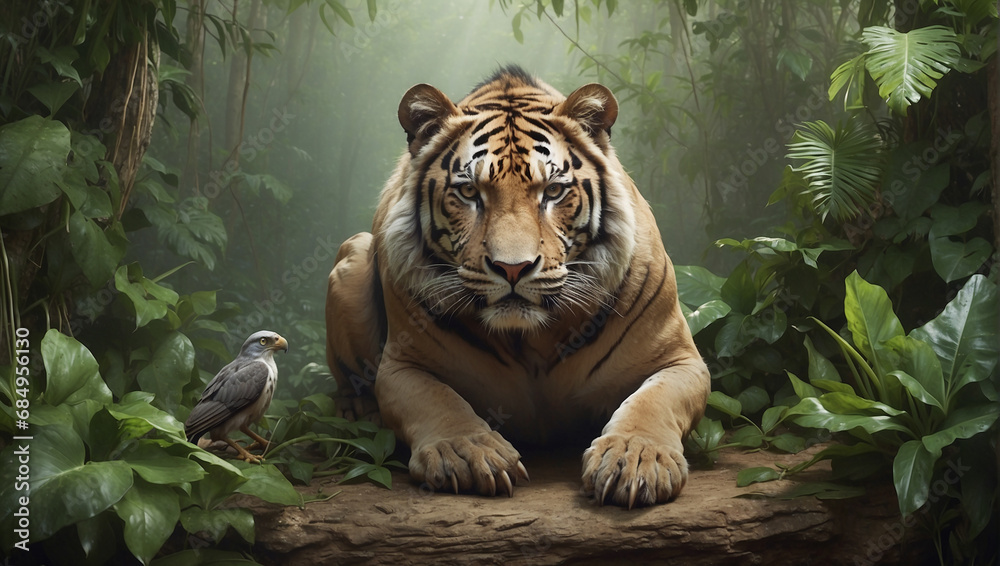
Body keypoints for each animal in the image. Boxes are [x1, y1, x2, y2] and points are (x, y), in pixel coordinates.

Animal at [325, 65, 710, 508]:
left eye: (553, 191)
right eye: (468, 191)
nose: (513, 268)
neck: (531, 340)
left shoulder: (681, 360)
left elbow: (652, 400)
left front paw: (636, 458)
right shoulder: (401, 366)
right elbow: (439, 401)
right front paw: (467, 452)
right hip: (354, 255)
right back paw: (358, 414)